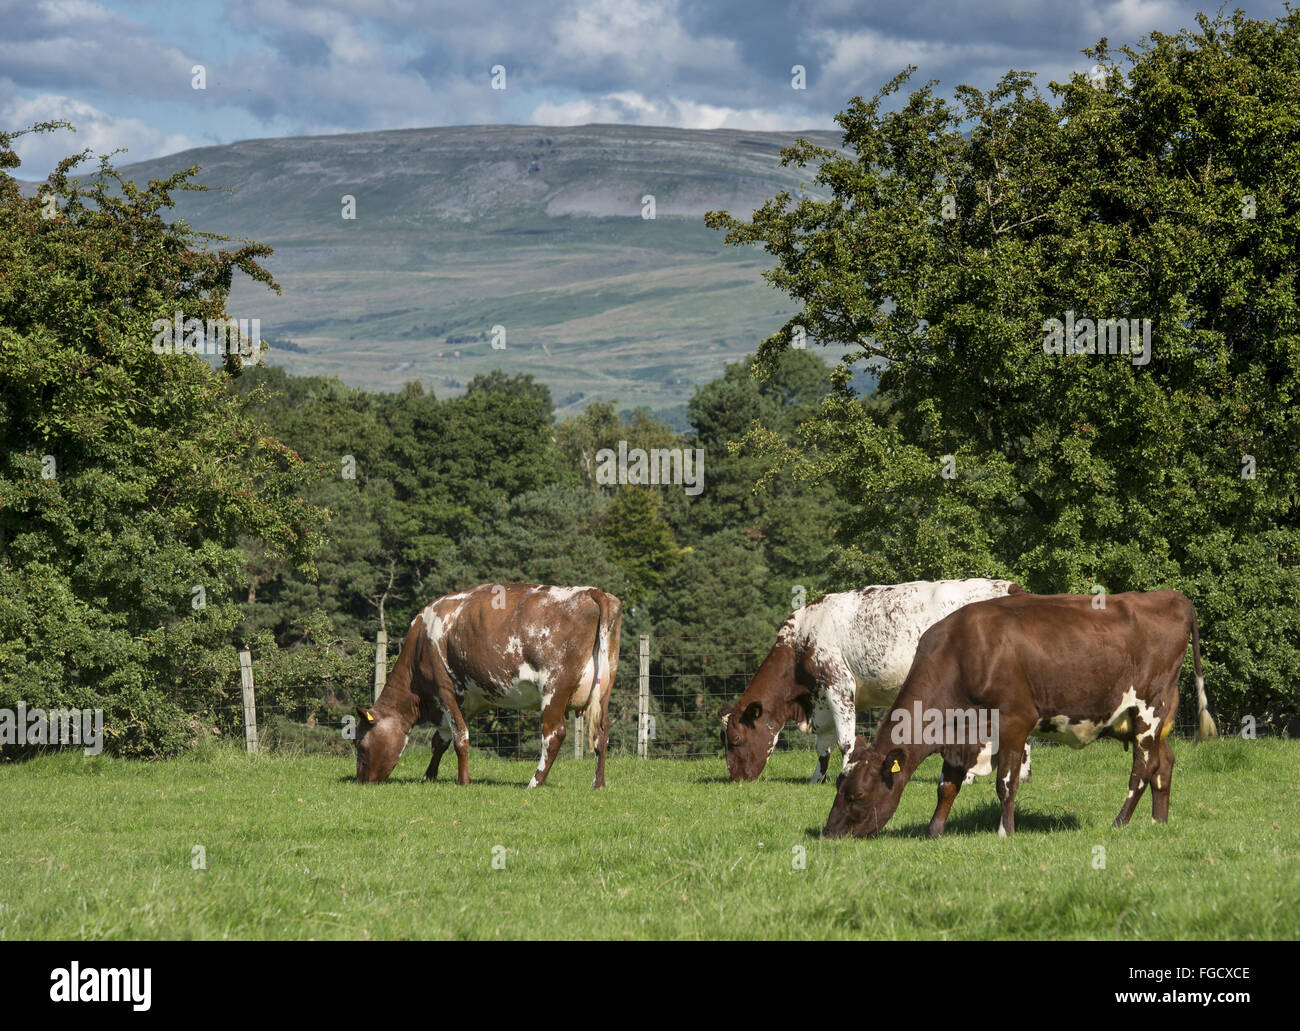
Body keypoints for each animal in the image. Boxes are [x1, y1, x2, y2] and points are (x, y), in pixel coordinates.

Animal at [353, 583, 622, 789]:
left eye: (360, 744)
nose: (360, 781)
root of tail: (590, 591)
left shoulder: (444, 690)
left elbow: (460, 738)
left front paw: (463, 781)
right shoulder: (470, 700)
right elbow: (441, 740)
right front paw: (429, 776)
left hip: (553, 688)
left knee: (553, 734)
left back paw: (534, 782)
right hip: (604, 690)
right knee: (602, 733)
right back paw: (598, 783)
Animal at [720, 579, 1032, 785]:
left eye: (735, 739)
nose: (735, 778)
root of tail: (1009, 586)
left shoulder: (839, 684)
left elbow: (845, 741)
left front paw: (844, 774)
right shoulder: (821, 699)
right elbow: (823, 746)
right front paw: (816, 779)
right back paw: (1021, 775)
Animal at [823, 589, 1217, 840]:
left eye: (857, 794)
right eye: (839, 787)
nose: (828, 833)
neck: (962, 653)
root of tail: (1170, 596)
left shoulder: (1013, 722)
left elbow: (1006, 783)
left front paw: (1005, 830)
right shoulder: (959, 733)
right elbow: (946, 786)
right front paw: (933, 831)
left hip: (1149, 709)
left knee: (1143, 768)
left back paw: (1121, 821)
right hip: (1150, 720)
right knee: (1164, 763)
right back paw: (1158, 822)